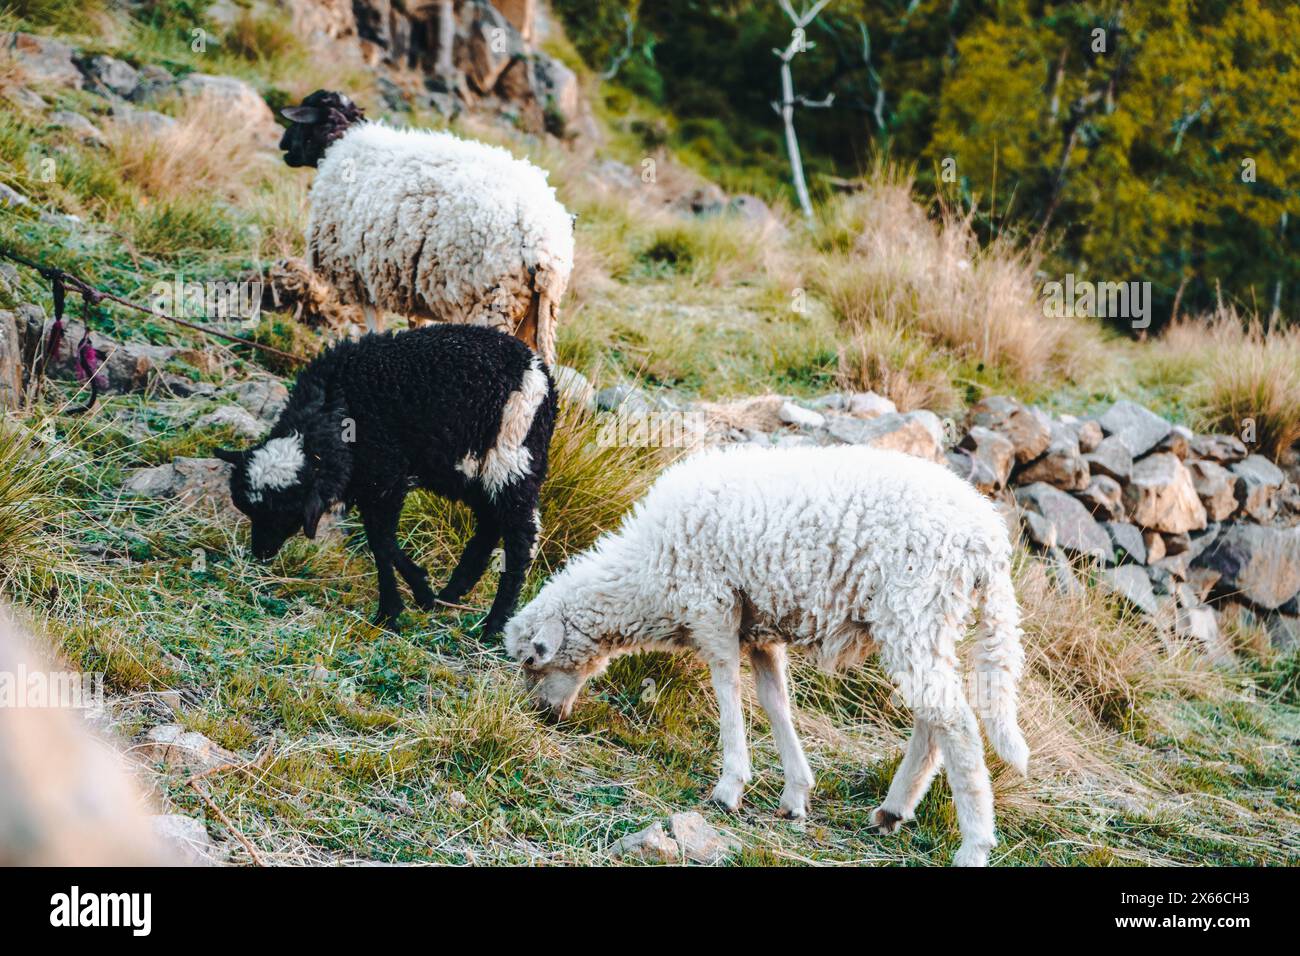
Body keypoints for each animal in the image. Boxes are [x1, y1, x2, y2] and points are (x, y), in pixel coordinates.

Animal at [216, 324, 557, 635]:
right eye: (250, 511)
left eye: (285, 513)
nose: (261, 553)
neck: (332, 408)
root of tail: (538, 370)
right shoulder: (371, 479)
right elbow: (383, 540)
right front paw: (422, 594)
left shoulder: (385, 474)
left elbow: (381, 542)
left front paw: (391, 611)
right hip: (472, 469)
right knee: (488, 526)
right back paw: (452, 594)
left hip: (512, 458)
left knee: (520, 540)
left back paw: (494, 625)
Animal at [278, 90, 574, 365]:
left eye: (302, 121)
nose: (283, 144)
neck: (340, 143)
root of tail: (541, 241)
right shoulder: (413, 290)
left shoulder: (360, 278)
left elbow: (374, 329)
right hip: (537, 313)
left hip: (494, 302)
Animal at [504, 444, 1028, 867]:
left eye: (531, 662)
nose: (540, 715)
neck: (646, 578)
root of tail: (988, 540)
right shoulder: (760, 627)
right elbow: (775, 702)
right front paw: (796, 792)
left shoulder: (713, 604)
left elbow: (727, 687)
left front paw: (730, 787)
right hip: (926, 621)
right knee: (933, 717)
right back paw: (892, 810)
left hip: (914, 607)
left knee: (956, 723)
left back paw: (974, 845)